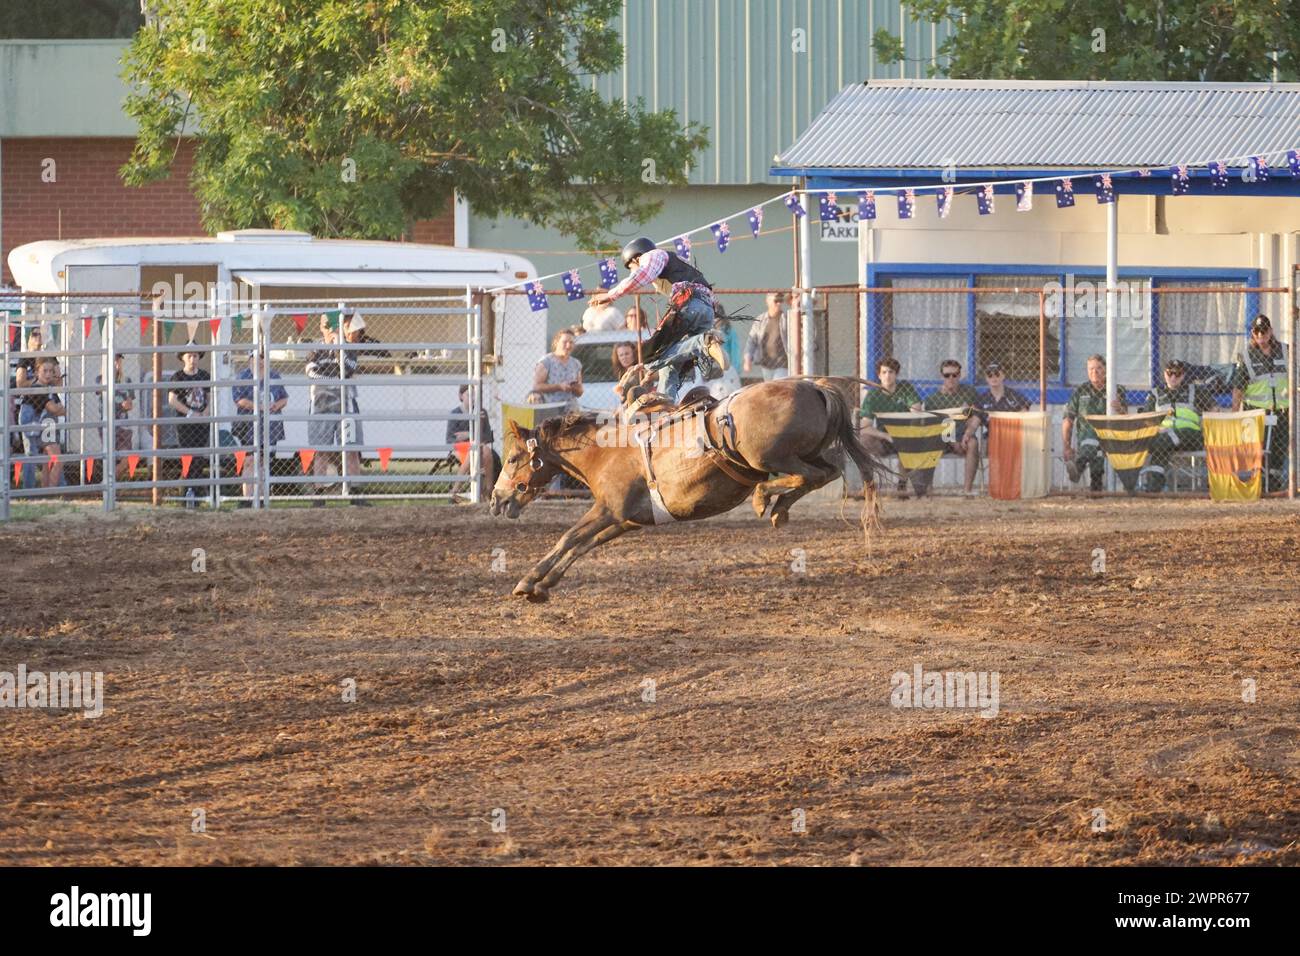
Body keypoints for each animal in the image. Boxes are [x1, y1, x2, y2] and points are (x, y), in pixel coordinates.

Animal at [488, 377, 883, 602]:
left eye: (512, 459)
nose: (496, 500)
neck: (606, 450)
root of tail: (815, 386)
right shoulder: (625, 521)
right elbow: (584, 545)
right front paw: (544, 585)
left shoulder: (608, 509)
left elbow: (568, 538)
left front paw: (528, 582)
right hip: (806, 454)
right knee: (828, 473)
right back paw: (779, 508)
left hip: (771, 457)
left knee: (809, 476)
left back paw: (764, 499)